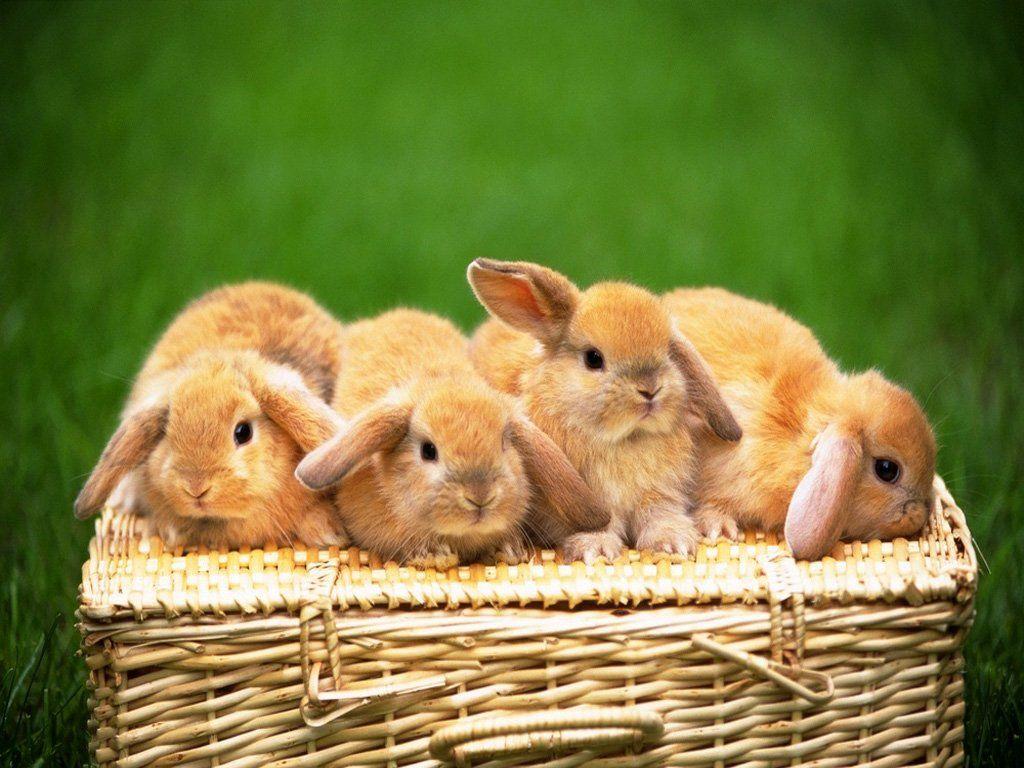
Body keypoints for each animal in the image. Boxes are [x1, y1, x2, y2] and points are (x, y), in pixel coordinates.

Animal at [467, 259, 742, 564]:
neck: (624, 439)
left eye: (667, 352)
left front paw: (674, 543)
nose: (650, 389)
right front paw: (595, 549)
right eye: (593, 358)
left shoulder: (659, 493)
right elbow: (600, 525)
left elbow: (660, 515)